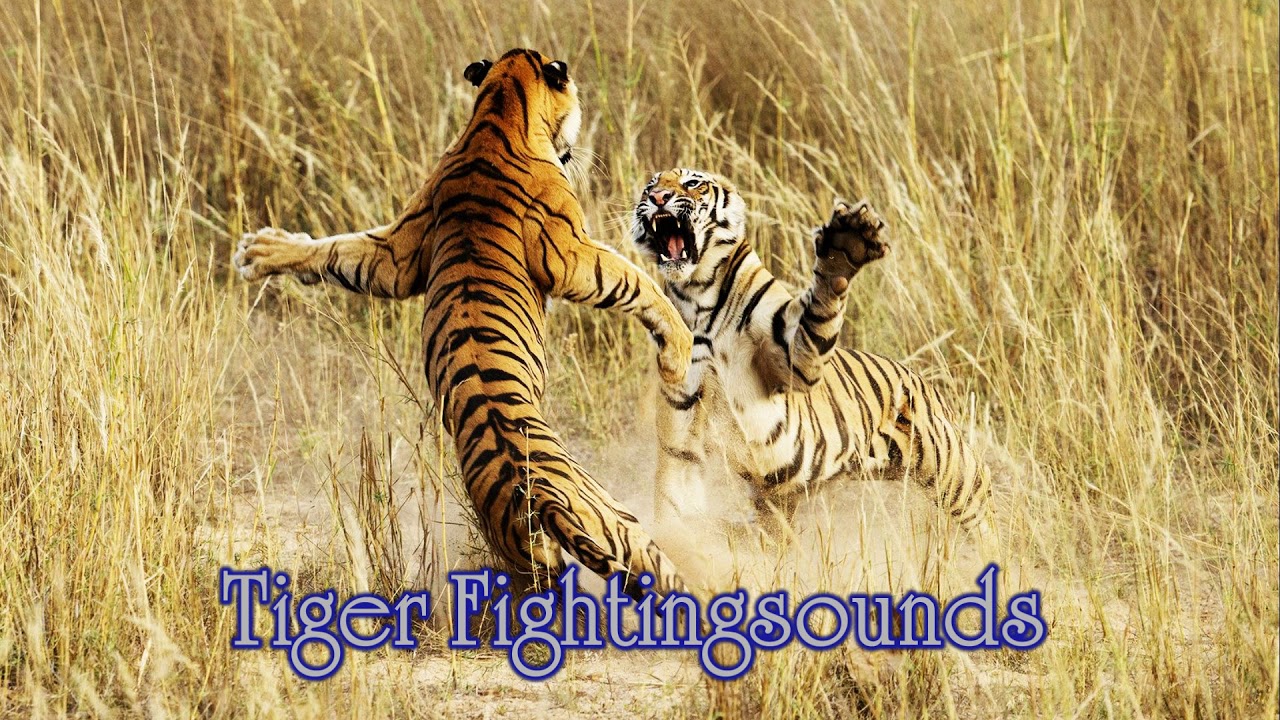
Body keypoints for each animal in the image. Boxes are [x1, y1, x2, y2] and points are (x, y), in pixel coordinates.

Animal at [233, 49, 694, 599]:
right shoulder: (572, 255)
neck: (498, 110)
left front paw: (261, 251)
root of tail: (543, 500)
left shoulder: (396, 253)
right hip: (623, 528)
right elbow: (636, 281)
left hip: (532, 556)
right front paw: (678, 353)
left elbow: (336, 251)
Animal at [630, 168, 993, 540]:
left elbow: (820, 307)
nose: (657, 197)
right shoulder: (683, 430)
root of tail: (927, 385)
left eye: (692, 183)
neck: (698, 295)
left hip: (955, 473)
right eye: (650, 186)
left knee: (984, 515)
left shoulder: (793, 359)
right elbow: (678, 504)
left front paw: (845, 245)